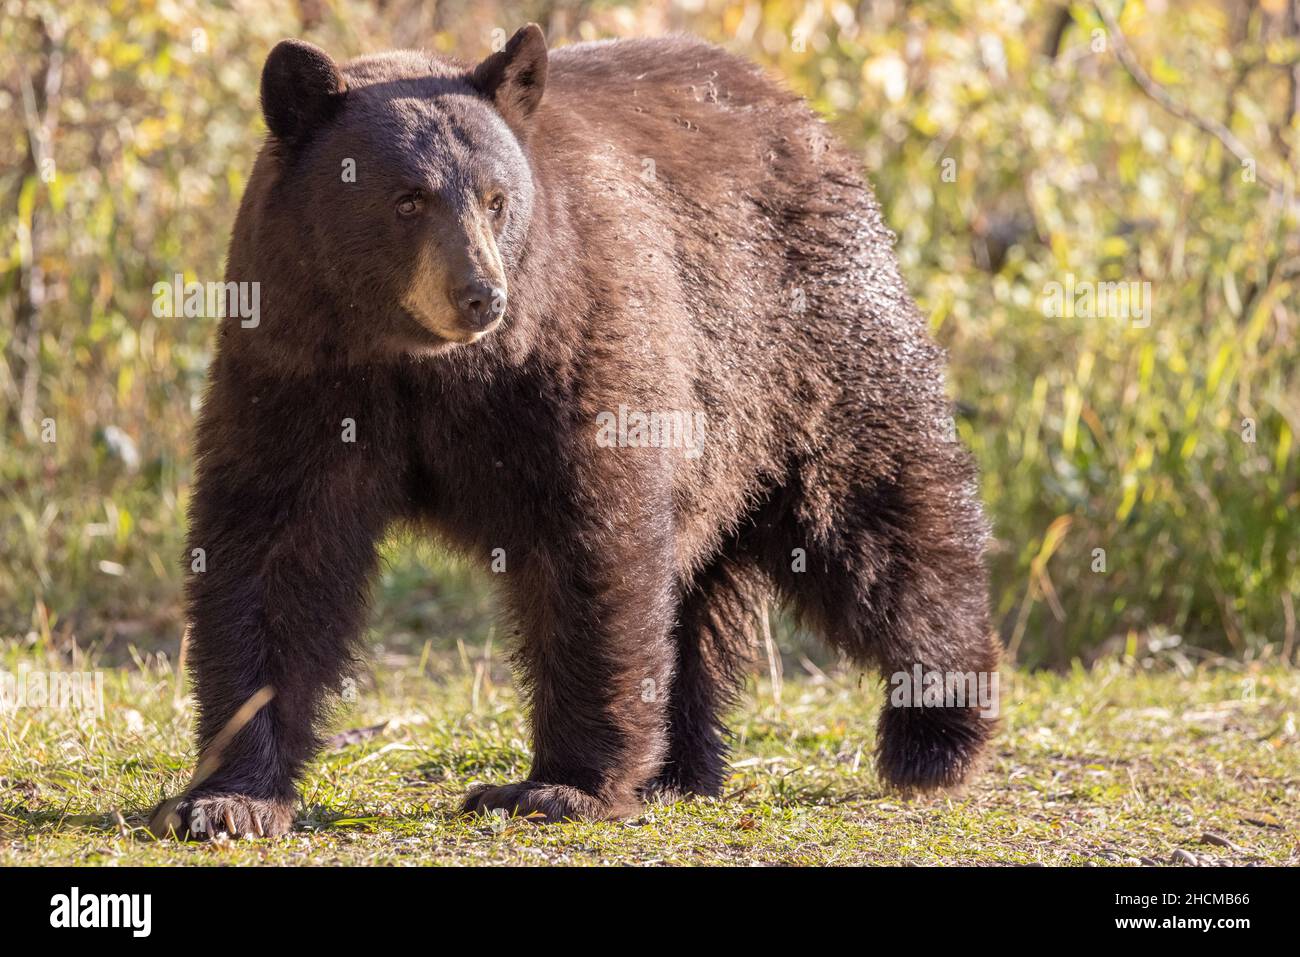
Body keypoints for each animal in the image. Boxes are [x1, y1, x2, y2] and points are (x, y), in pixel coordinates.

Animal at [159, 24, 1000, 838]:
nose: (480, 295)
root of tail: (799, 112)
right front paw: (228, 797)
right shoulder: (299, 365)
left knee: (879, 513)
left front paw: (563, 785)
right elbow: (275, 547)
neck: (419, 362)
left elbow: (591, 541)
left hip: (805, 346)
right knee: (696, 589)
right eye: (408, 199)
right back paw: (677, 768)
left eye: (497, 198)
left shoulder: (569, 346)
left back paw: (937, 730)